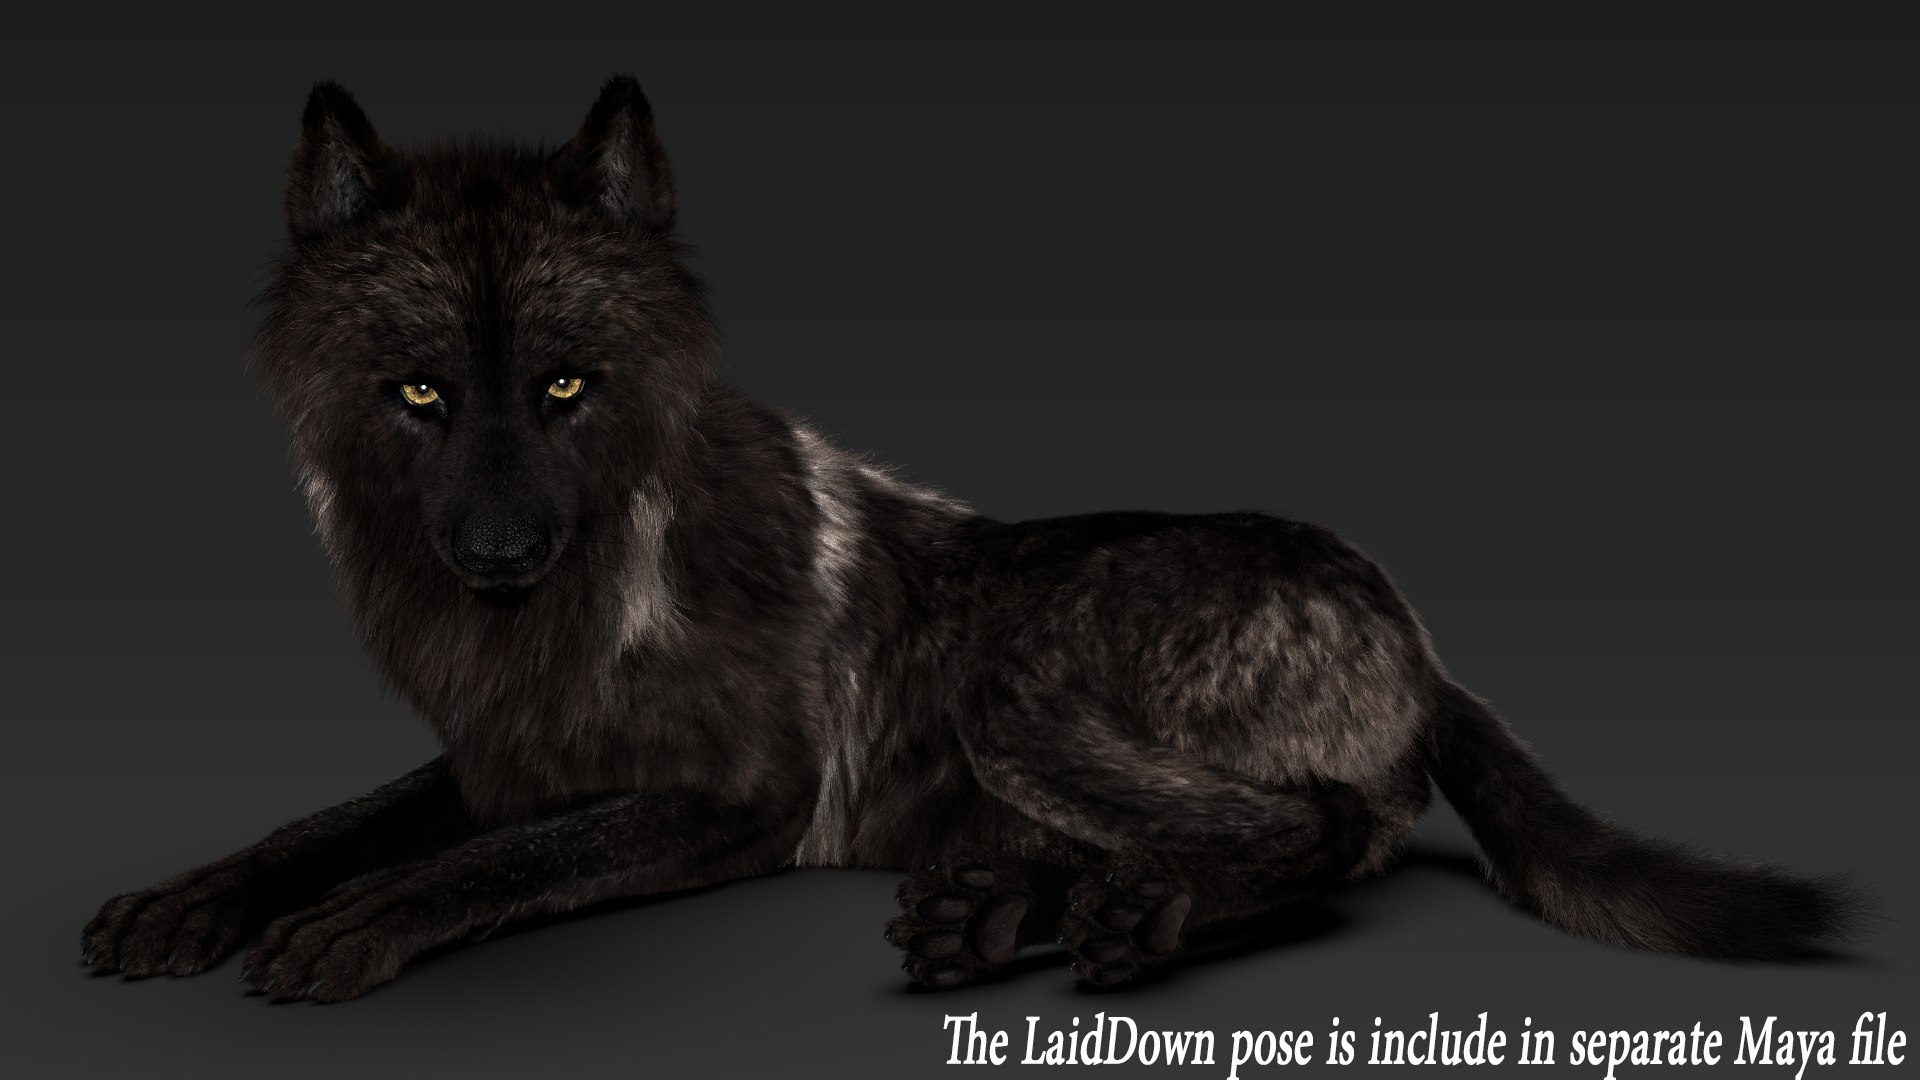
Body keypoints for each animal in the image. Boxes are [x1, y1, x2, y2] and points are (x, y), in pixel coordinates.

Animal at [82, 77, 1858, 1002]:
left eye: (568, 386)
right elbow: (337, 818)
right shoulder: (503, 755)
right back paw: (1017, 911)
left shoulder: (735, 801)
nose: (502, 546)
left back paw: (1110, 920)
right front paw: (195, 898)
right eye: (423, 394)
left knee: (1318, 832)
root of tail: (1416, 625)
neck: (584, 603)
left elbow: (497, 858)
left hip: (1019, 701)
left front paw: (352, 925)